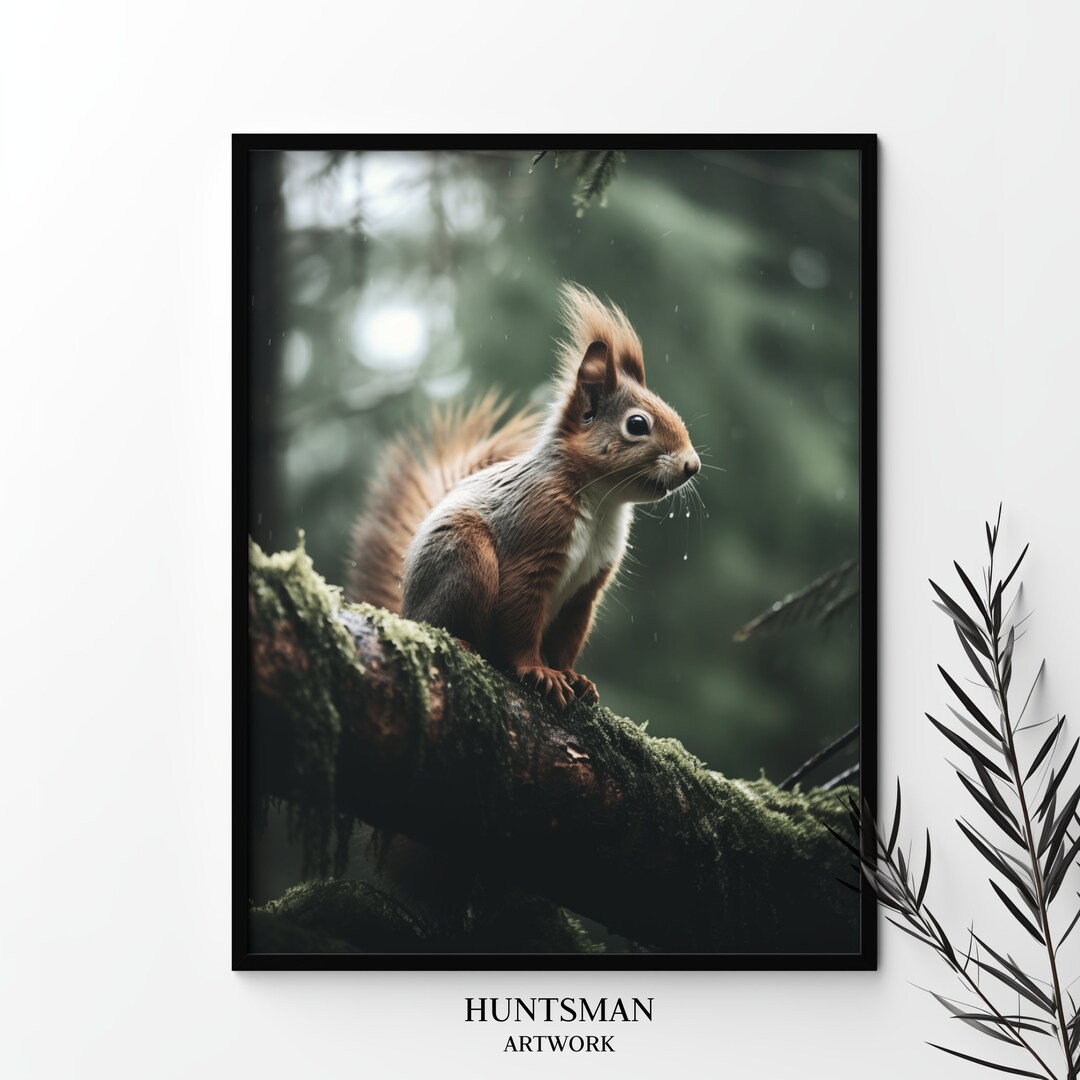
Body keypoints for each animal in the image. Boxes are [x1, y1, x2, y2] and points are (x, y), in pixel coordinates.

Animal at [347, 283, 701, 710]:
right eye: (637, 424)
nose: (692, 464)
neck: (600, 501)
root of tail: (404, 610)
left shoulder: (587, 589)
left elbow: (567, 639)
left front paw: (573, 676)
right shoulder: (533, 540)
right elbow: (520, 618)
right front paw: (538, 671)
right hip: (468, 558)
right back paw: (463, 643)